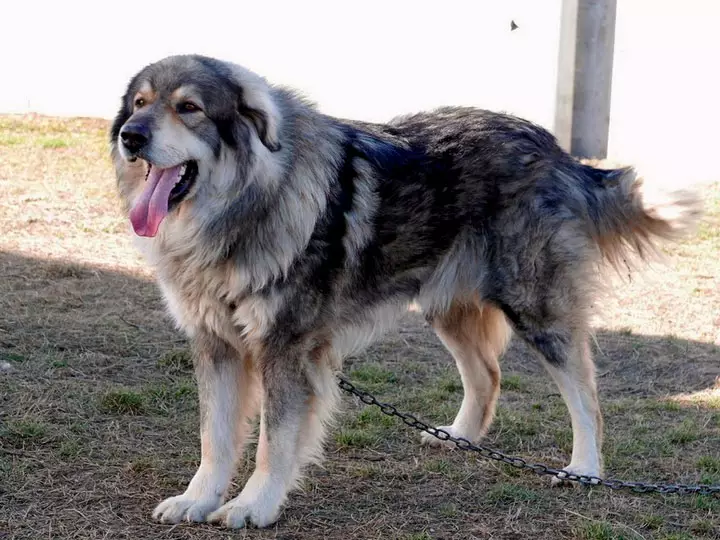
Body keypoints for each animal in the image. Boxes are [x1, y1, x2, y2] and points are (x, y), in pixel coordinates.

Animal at [109, 53, 700, 528]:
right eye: (139, 102)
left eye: (189, 108)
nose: (130, 136)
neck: (243, 205)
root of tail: (558, 152)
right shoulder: (217, 346)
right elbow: (215, 437)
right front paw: (198, 499)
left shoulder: (286, 350)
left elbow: (273, 443)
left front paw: (255, 506)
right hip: (448, 308)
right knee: (487, 375)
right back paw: (459, 437)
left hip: (537, 308)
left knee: (585, 394)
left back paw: (584, 470)